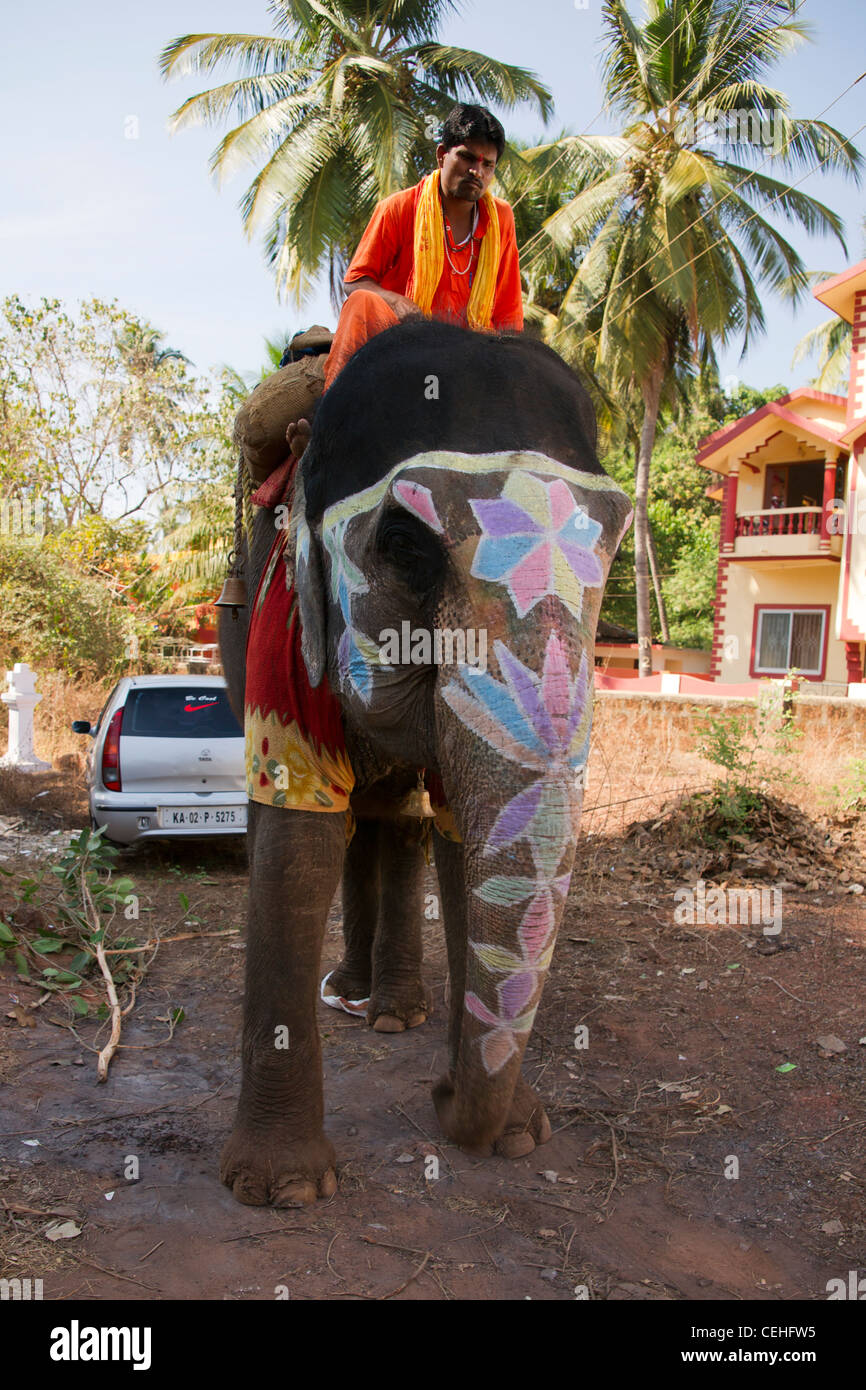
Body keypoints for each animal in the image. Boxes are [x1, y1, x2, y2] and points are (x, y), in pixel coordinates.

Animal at [218, 319, 632, 1206]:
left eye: (615, 541)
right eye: (406, 545)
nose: (442, 1096)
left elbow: (458, 833)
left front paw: (518, 1135)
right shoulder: (283, 637)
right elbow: (296, 848)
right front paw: (285, 1188)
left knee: (395, 823)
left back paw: (389, 1009)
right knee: (345, 826)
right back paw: (354, 995)